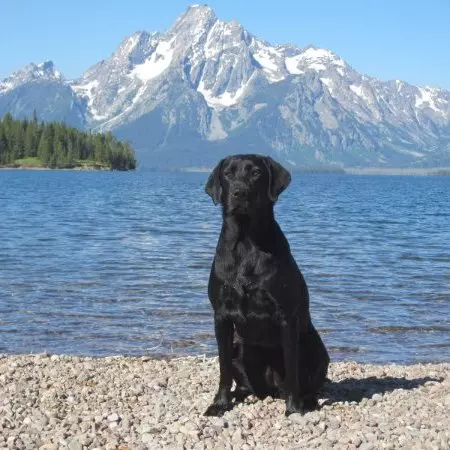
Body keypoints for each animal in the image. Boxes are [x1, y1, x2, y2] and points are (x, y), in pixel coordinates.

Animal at [203, 156, 326, 418]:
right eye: (228, 173)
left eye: (256, 173)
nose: (239, 192)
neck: (245, 243)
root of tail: (270, 389)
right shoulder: (221, 315)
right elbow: (223, 367)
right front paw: (220, 403)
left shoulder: (286, 317)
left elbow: (292, 370)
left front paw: (293, 409)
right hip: (240, 347)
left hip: (315, 347)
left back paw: (307, 401)